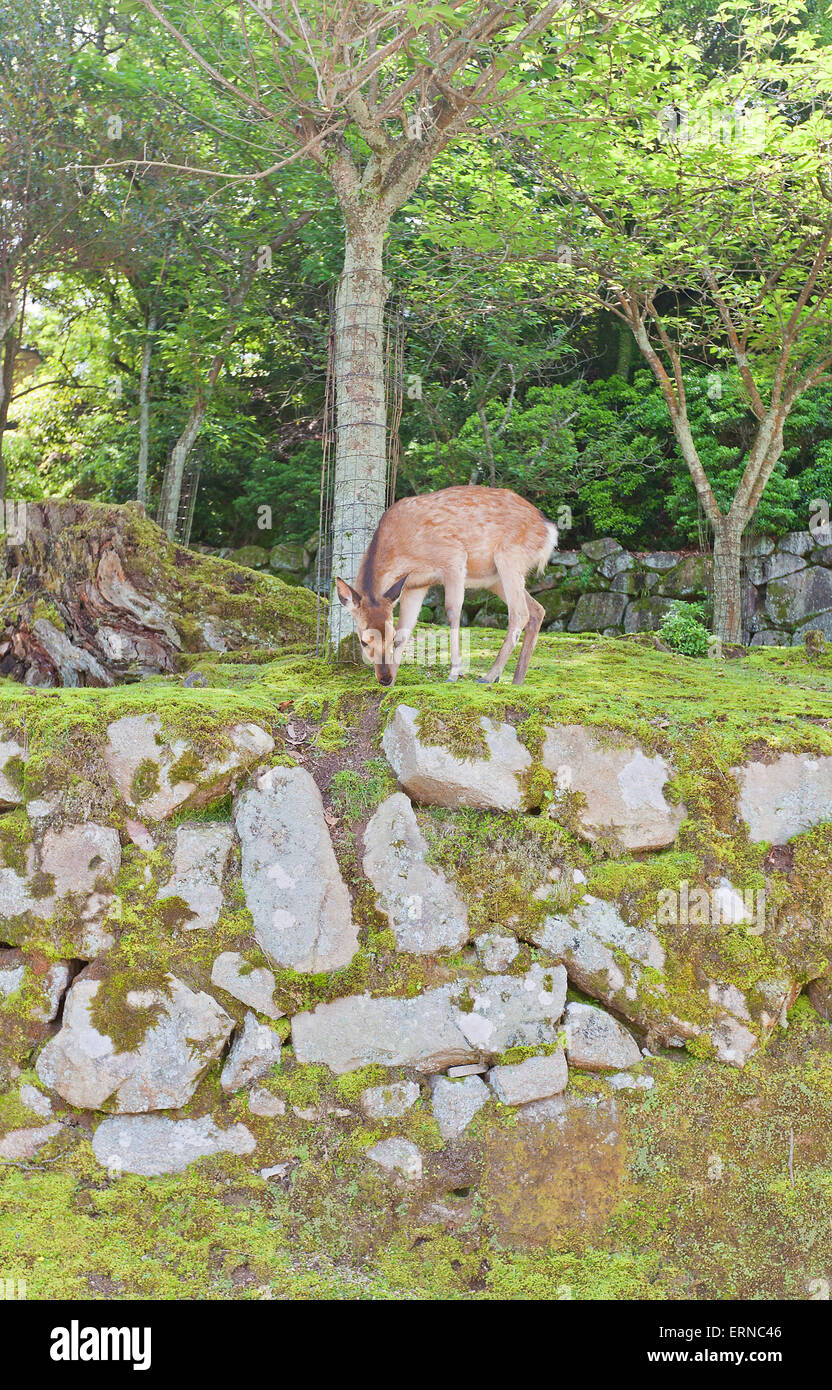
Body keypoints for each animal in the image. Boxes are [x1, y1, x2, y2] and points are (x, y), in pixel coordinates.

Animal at [335, 485, 557, 687]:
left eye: (388, 638)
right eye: (364, 641)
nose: (384, 678)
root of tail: (549, 530)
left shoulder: (454, 557)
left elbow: (452, 612)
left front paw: (454, 673)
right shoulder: (415, 585)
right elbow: (405, 630)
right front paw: (394, 680)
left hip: (509, 557)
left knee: (520, 612)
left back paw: (489, 676)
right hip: (494, 578)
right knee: (537, 609)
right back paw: (517, 680)